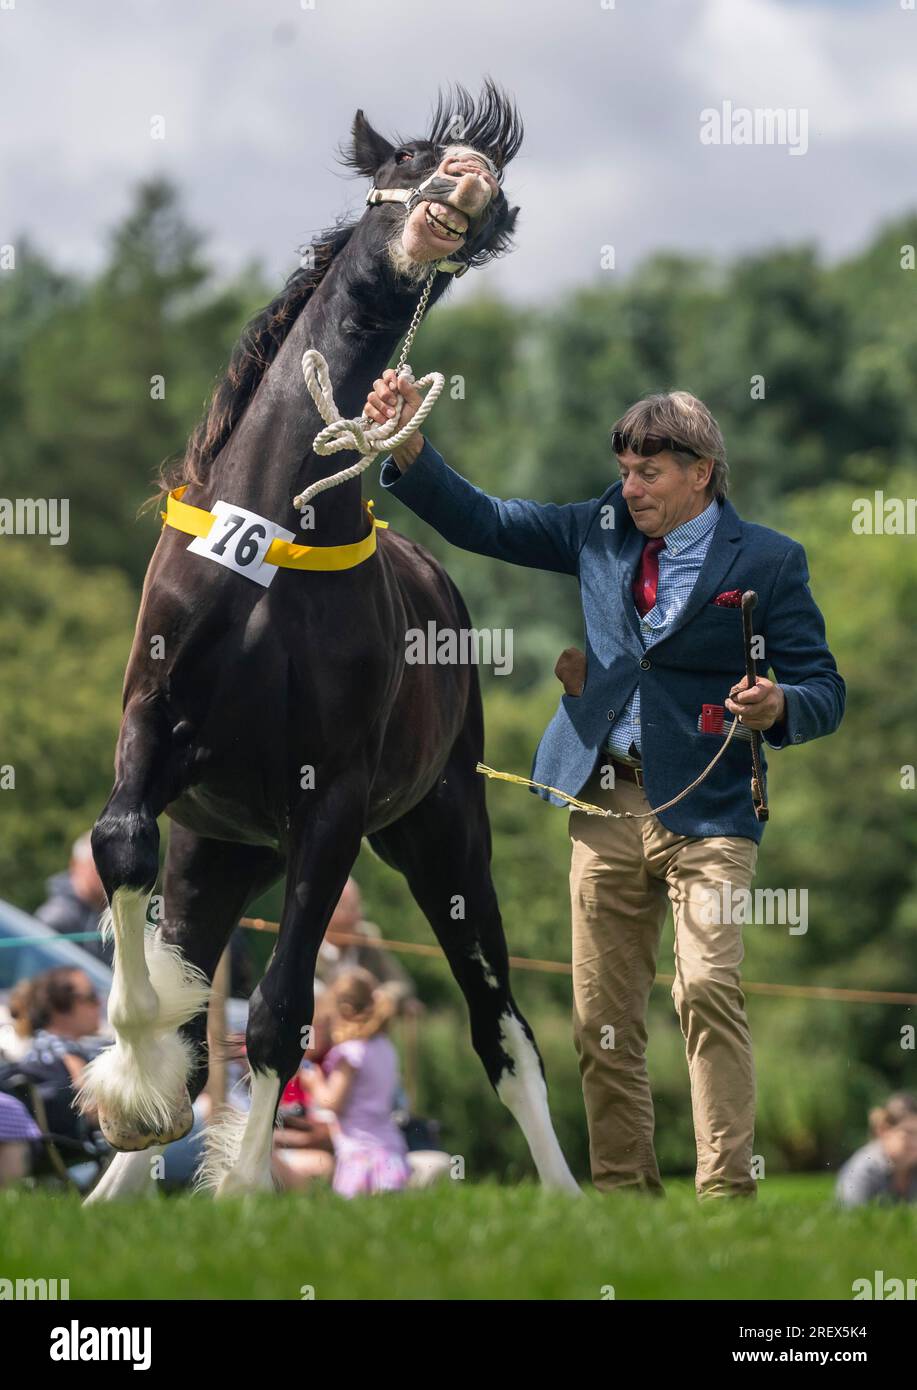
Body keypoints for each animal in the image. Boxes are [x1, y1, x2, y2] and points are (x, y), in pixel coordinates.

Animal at [82, 81, 579, 1200]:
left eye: (495, 205)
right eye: (409, 156)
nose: (467, 184)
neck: (275, 530)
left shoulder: (334, 801)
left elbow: (277, 1017)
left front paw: (246, 1195)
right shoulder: (152, 730)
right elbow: (124, 853)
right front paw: (131, 1090)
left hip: (442, 836)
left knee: (504, 1032)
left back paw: (572, 1197)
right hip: (220, 848)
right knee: (190, 999)